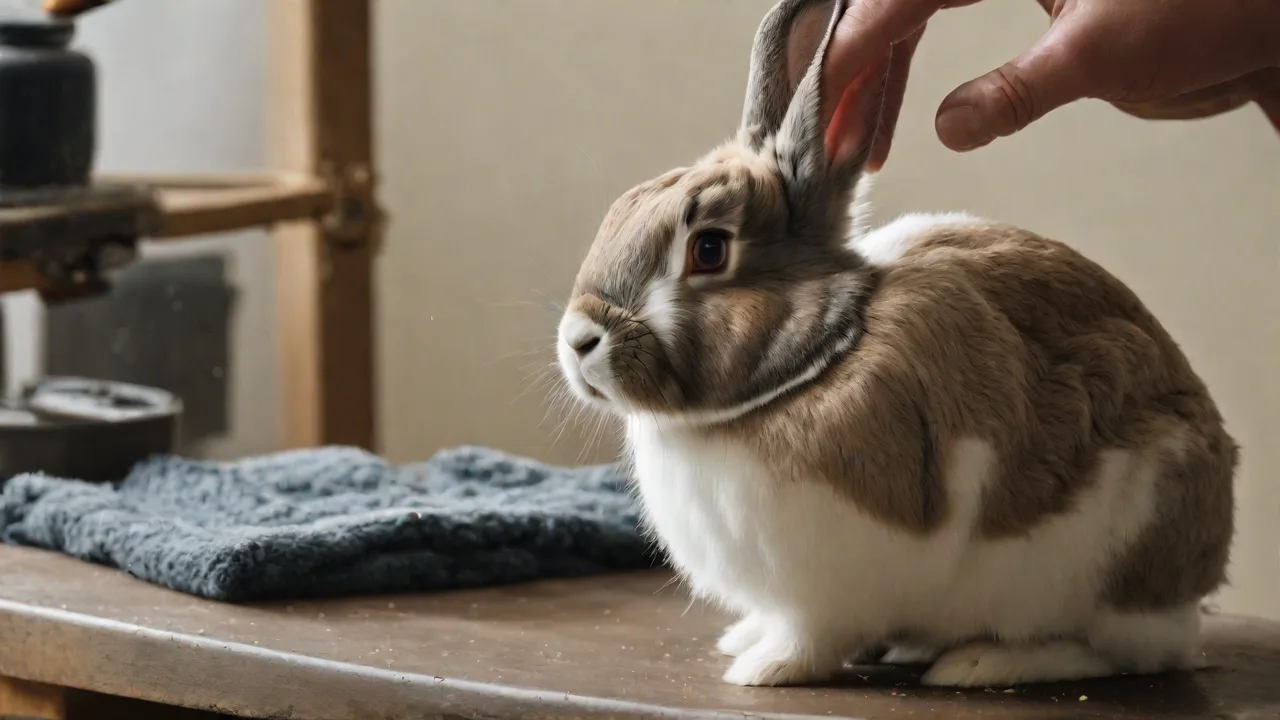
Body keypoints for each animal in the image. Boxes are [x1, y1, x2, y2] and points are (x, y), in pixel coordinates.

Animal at [554, 0, 1237, 689]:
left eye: (710, 250)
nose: (578, 340)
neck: (821, 357)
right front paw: (742, 638)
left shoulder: (828, 589)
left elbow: (812, 636)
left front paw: (762, 667)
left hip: (1120, 543)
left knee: (1124, 651)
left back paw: (981, 662)